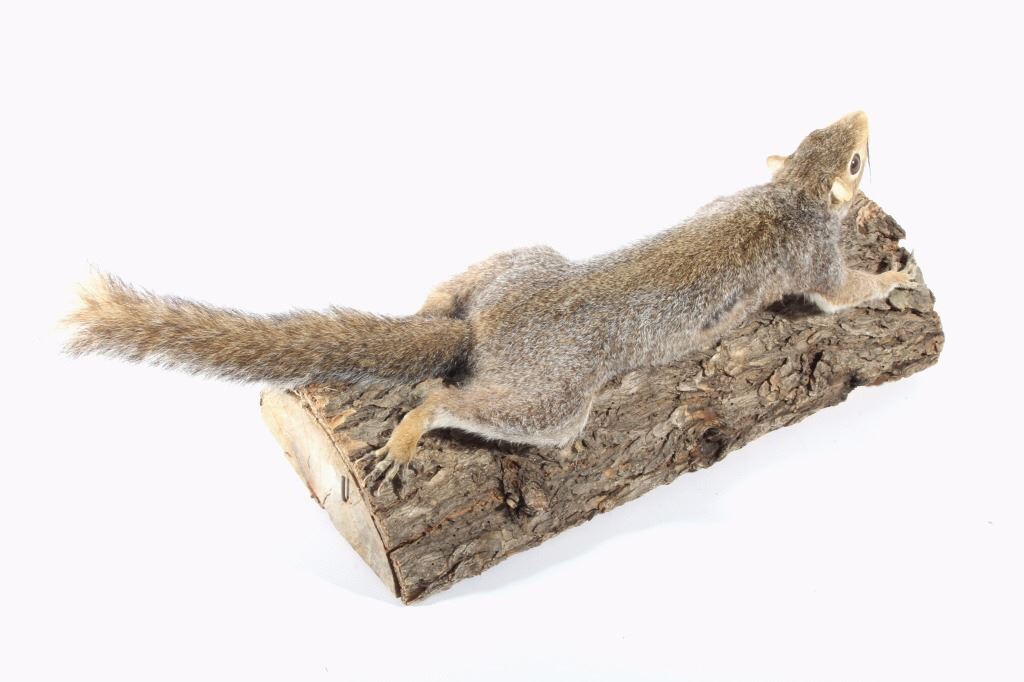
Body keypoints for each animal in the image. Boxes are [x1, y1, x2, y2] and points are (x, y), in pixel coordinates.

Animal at [65, 112, 917, 492]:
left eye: (832, 138)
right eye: (855, 156)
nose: (864, 114)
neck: (789, 193)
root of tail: (482, 328)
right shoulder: (814, 256)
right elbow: (842, 296)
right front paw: (895, 280)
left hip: (510, 266)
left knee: (443, 303)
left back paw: (426, 314)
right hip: (551, 402)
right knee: (451, 399)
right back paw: (412, 429)